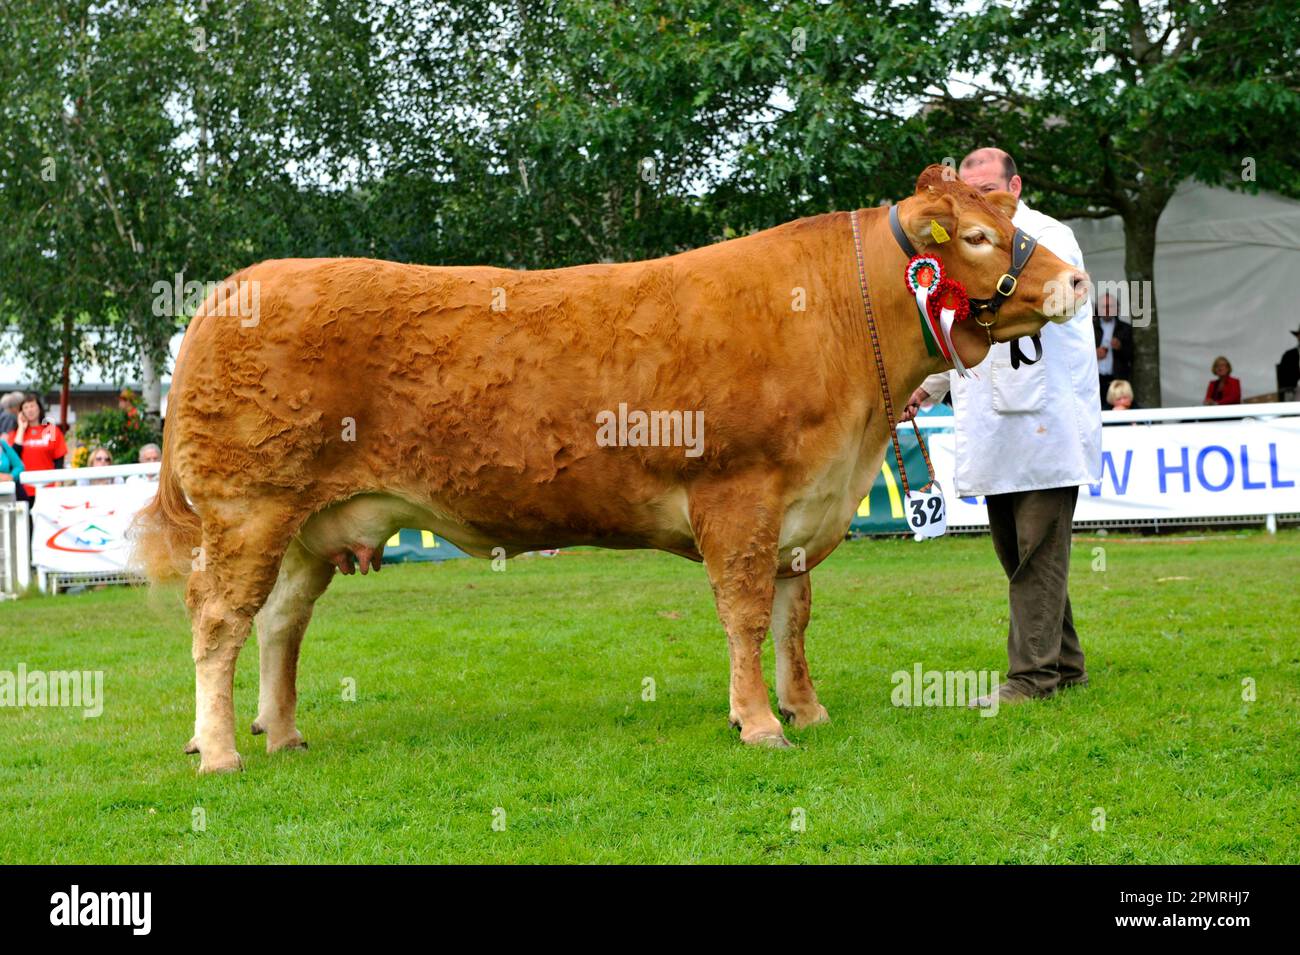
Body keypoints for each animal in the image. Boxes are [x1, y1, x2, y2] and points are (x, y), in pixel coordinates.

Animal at [133, 166, 1088, 773]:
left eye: (1014, 226)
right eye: (977, 235)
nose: (1078, 281)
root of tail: (231, 290)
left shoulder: (800, 512)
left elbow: (794, 619)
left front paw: (805, 710)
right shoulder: (739, 496)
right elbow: (747, 616)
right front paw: (759, 724)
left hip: (305, 525)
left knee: (278, 625)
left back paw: (283, 734)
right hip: (248, 509)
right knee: (218, 622)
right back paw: (222, 751)